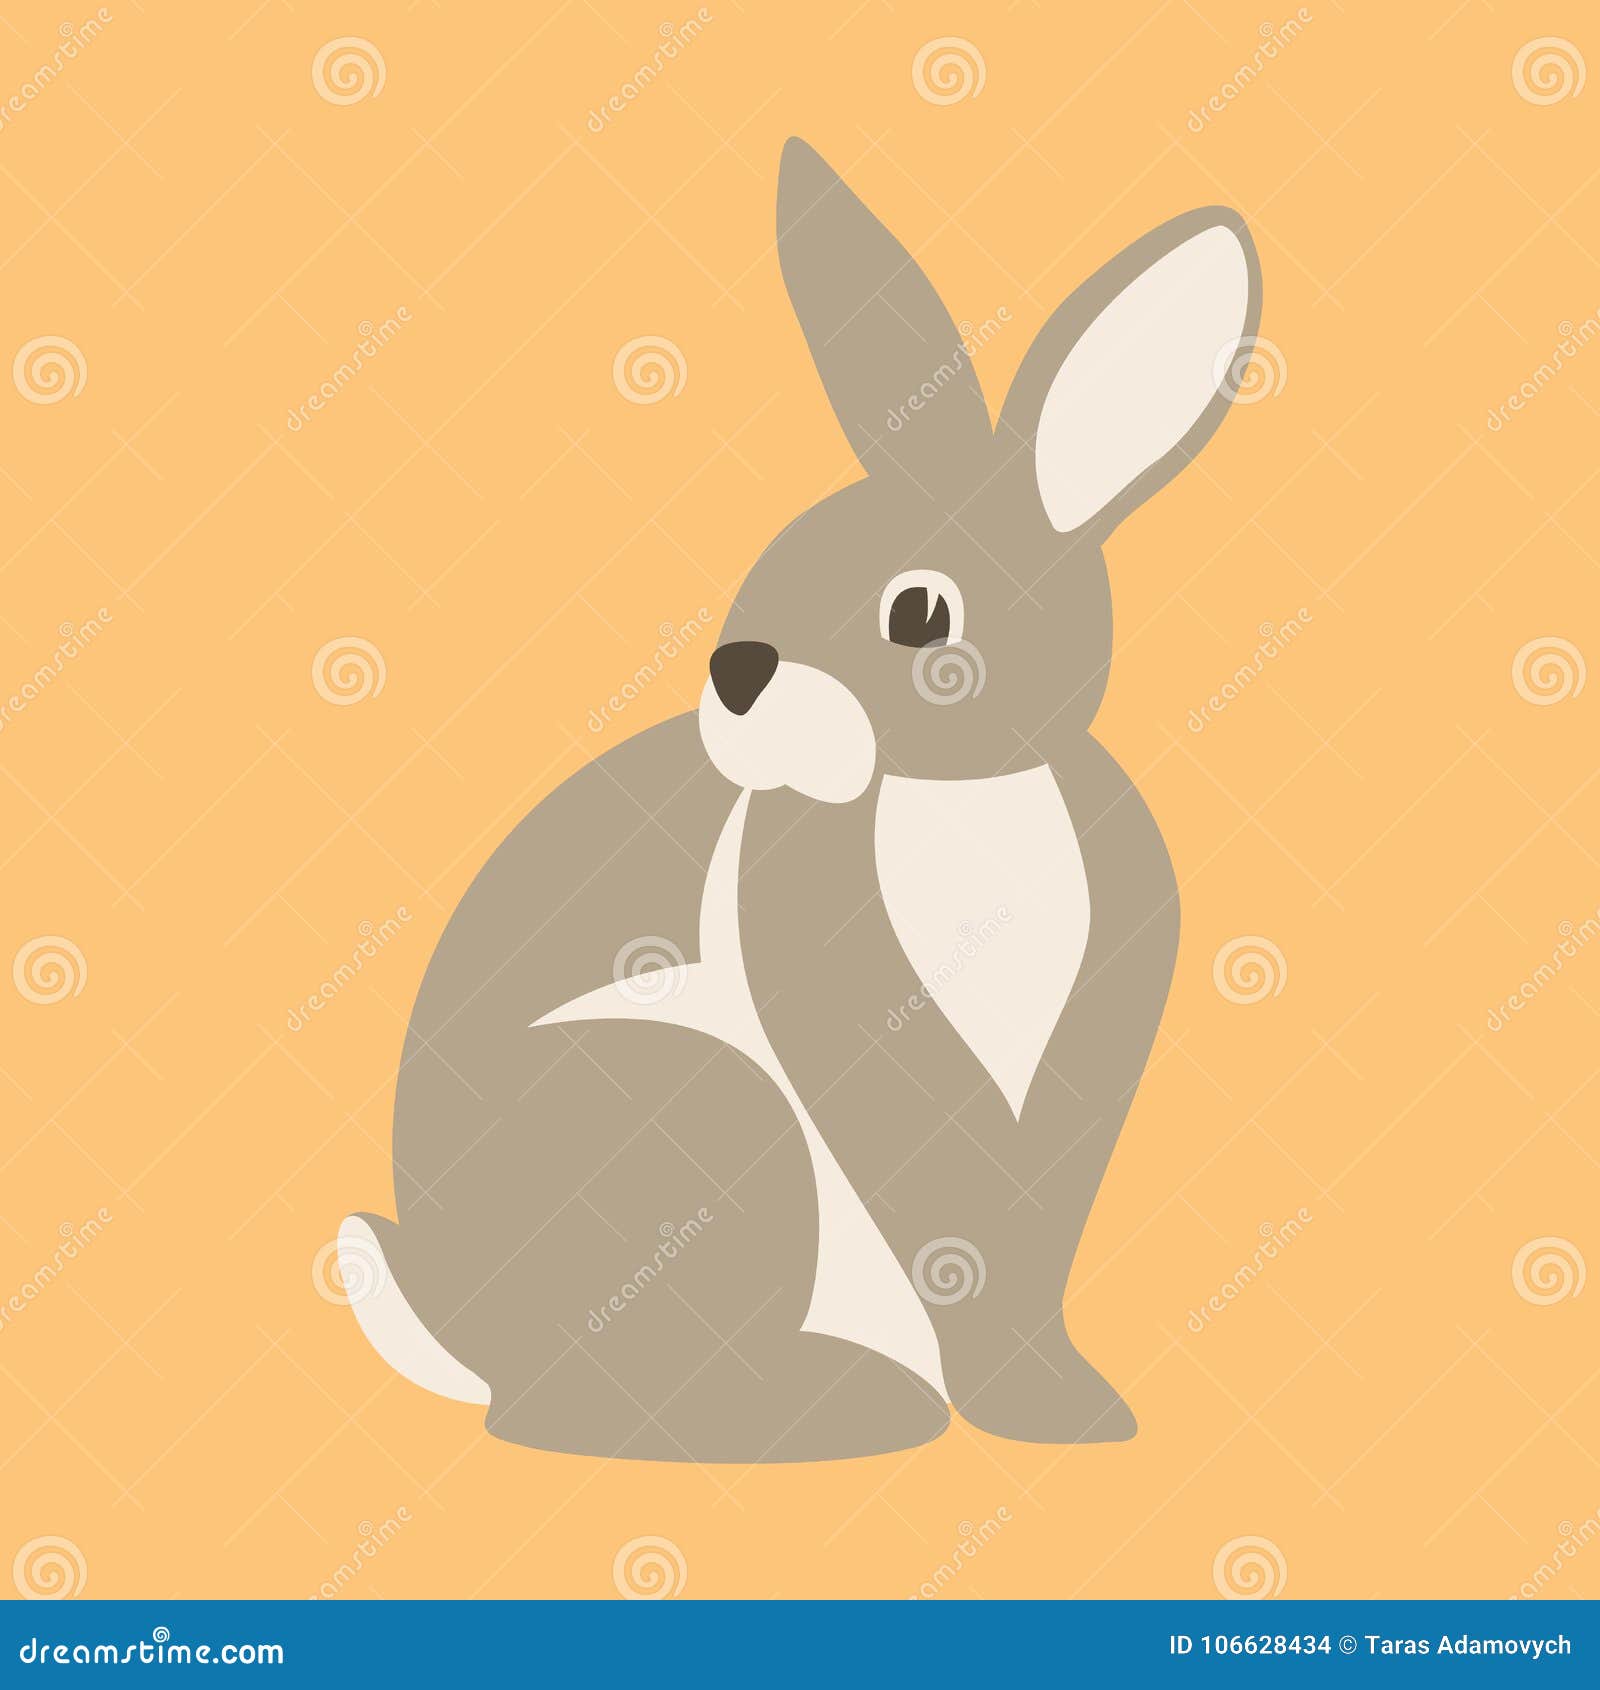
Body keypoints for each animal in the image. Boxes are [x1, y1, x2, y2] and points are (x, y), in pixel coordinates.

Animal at [340, 137, 1261, 1462]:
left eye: (920, 612)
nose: (735, 672)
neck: (958, 794)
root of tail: (457, 1326)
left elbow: (1026, 1235)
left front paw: (1072, 1416)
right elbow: (957, 1229)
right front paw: (1033, 1414)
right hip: (702, 1111)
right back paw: (840, 1409)